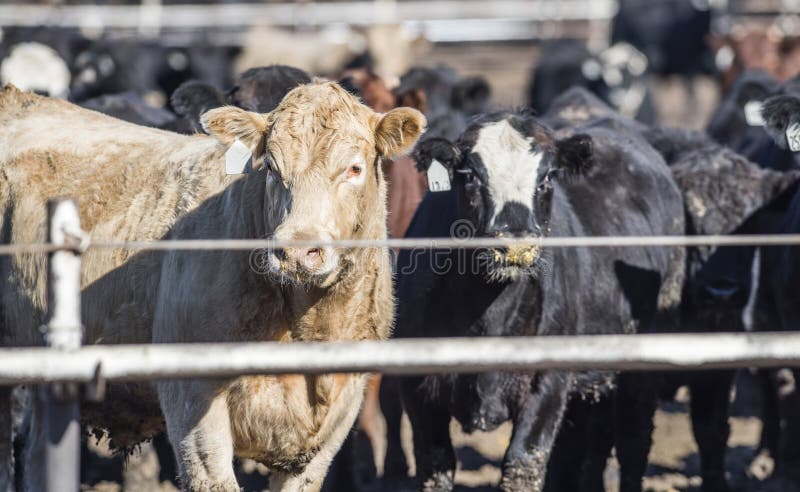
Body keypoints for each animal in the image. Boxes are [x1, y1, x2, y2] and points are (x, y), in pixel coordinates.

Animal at [0, 82, 425, 491]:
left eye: (354, 168)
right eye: (271, 168)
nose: (297, 252)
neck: (309, 325)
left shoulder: (339, 412)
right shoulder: (193, 400)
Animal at [391, 107, 685, 492]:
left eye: (546, 179)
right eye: (470, 176)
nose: (516, 243)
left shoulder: (547, 385)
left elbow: (523, 463)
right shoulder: (418, 392)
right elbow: (435, 466)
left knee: (633, 439)